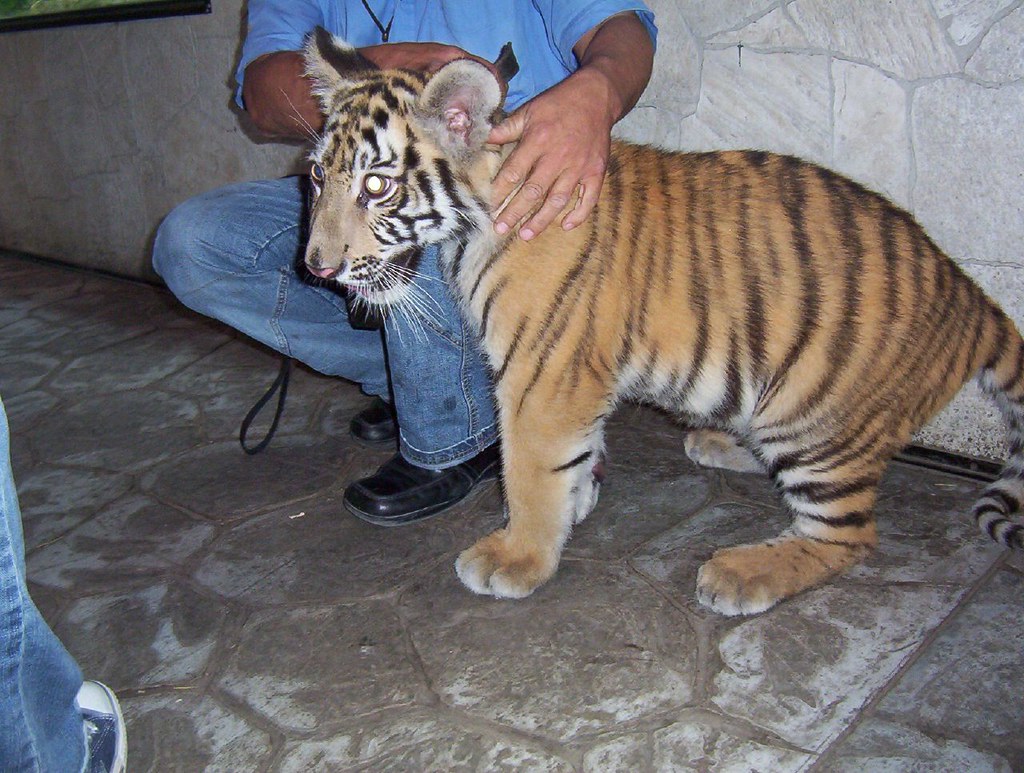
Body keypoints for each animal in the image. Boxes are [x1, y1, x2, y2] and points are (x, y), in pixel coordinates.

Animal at [301, 28, 1024, 616]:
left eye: (376, 186)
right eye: (315, 176)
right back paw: (721, 445)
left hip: (818, 417)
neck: (475, 219)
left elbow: (528, 472)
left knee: (849, 535)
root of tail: (971, 295)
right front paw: (575, 502)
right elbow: (573, 459)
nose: (314, 267)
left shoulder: (541, 376)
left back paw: (742, 572)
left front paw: (517, 557)